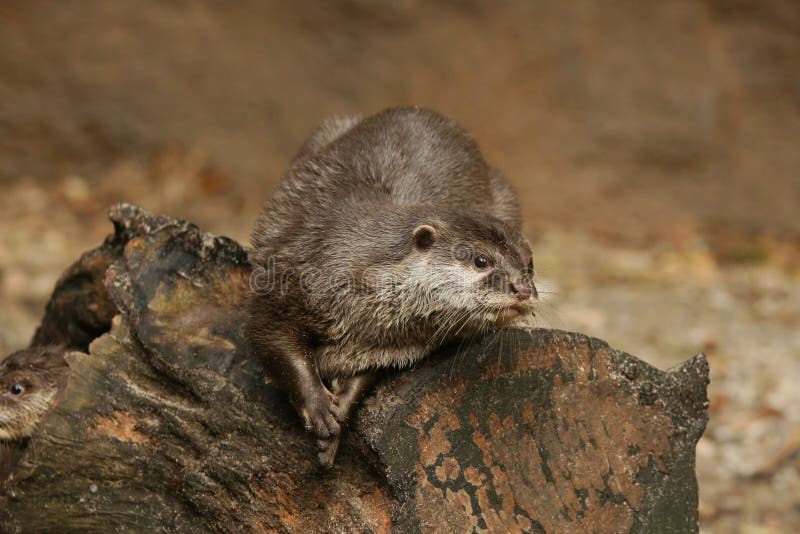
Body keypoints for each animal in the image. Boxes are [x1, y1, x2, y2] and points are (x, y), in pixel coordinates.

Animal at [247, 106, 537, 467]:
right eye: (481, 260)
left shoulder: (387, 349)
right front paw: (318, 407)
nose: (522, 288)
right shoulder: (284, 282)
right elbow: (275, 342)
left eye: (530, 264)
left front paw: (338, 418)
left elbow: (364, 377)